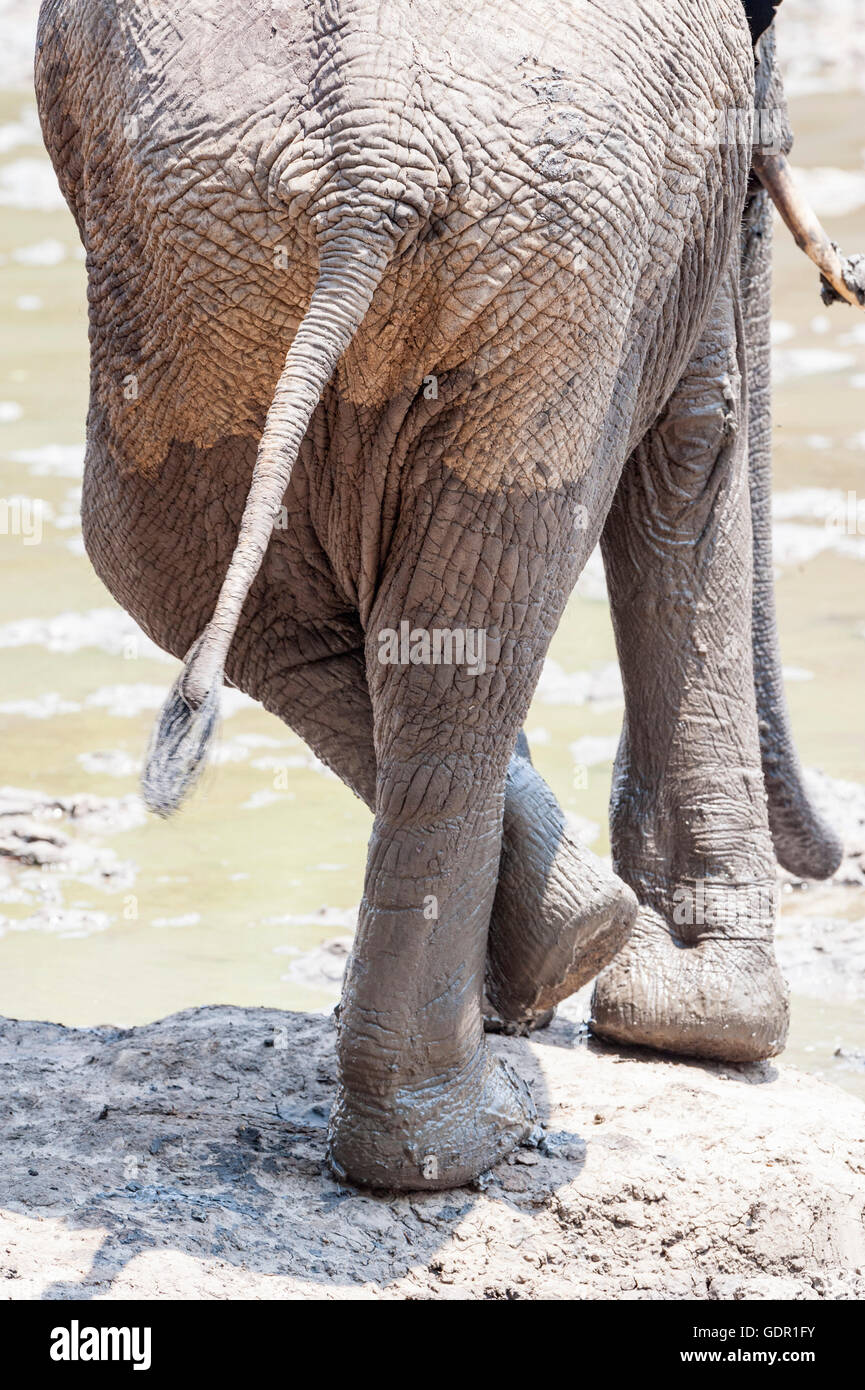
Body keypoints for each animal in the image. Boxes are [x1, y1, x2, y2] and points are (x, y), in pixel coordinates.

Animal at [34, 0, 861, 1191]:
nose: (831, 854)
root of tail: (368, 161)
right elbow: (699, 433)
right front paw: (704, 1016)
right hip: (541, 249)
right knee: (472, 625)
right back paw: (490, 1097)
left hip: (200, 257)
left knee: (178, 568)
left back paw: (505, 1031)